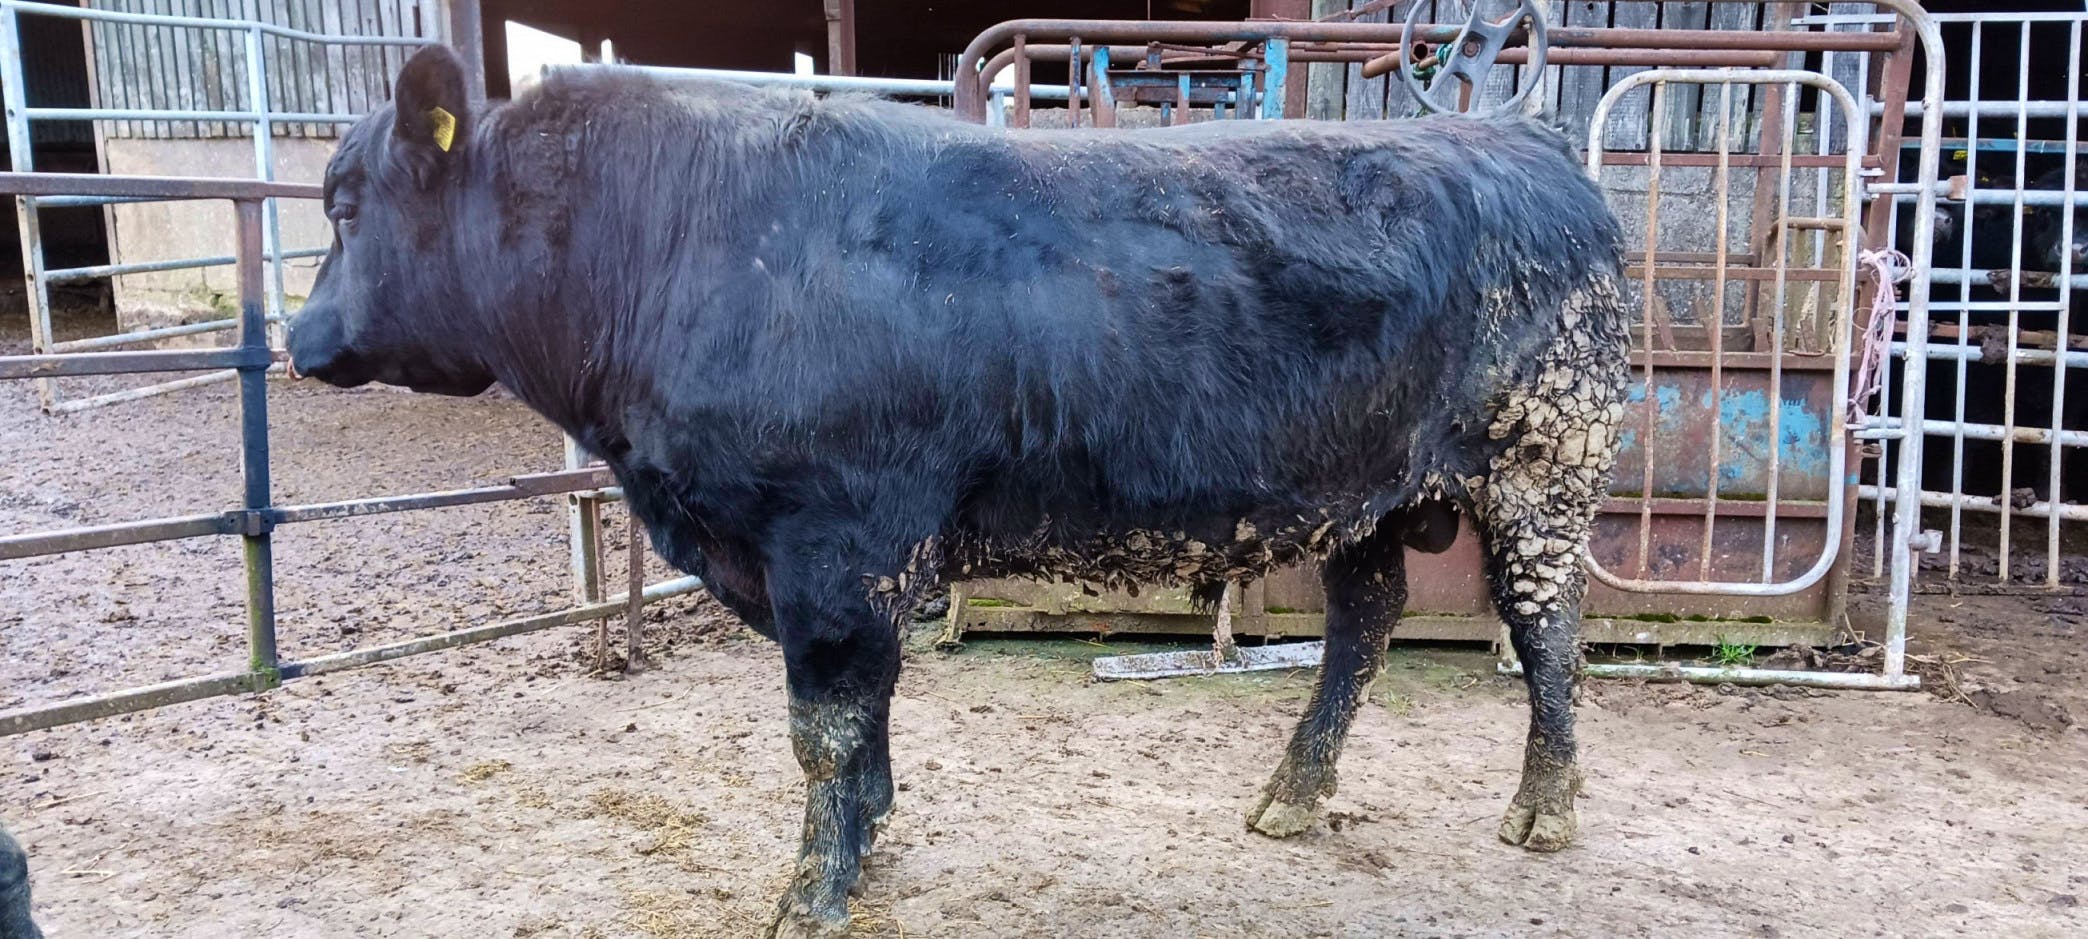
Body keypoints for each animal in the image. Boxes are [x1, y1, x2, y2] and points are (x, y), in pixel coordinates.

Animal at [286, 47, 1630, 937]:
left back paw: (1546, 810)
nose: (297, 343)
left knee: (1550, 635)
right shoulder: (836, 564)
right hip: (1365, 496)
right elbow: (866, 720)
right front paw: (870, 845)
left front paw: (812, 890)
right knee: (1363, 623)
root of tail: (1519, 137)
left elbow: (825, 728)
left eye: (348, 206)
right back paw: (1292, 799)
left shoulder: (832, 545)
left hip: (1542, 472)